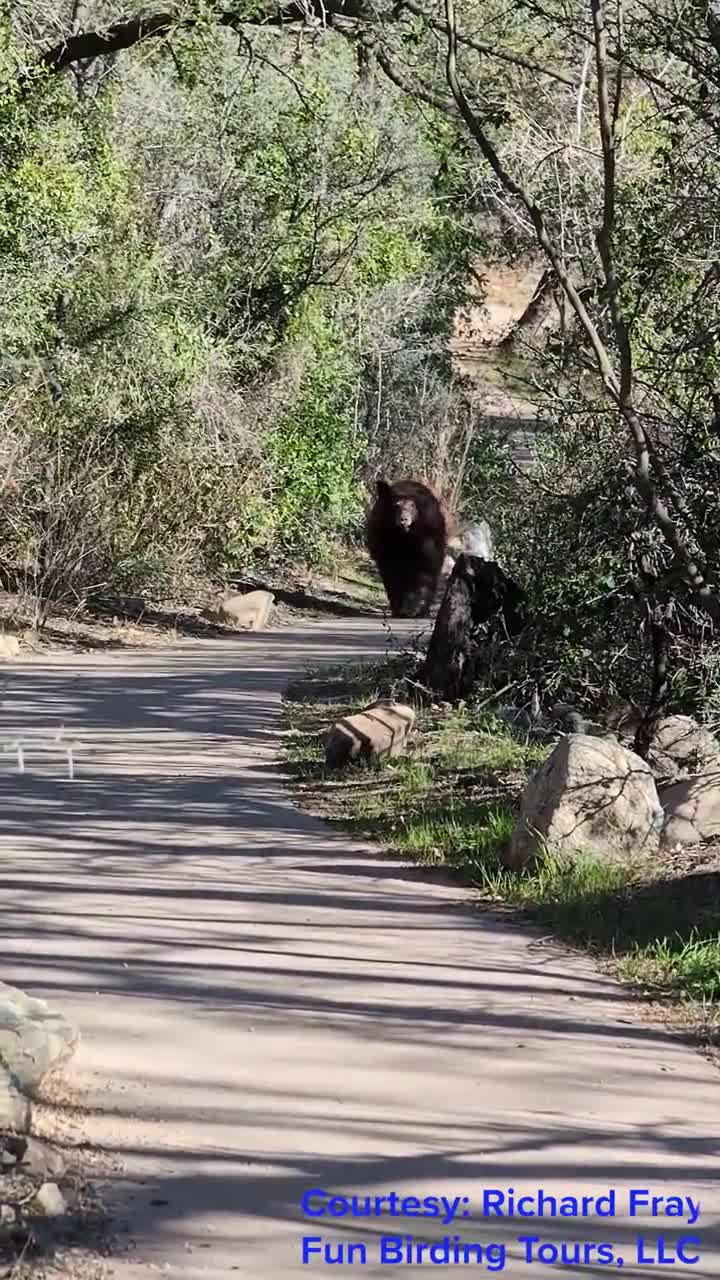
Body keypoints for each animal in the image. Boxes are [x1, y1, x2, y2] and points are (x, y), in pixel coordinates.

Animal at [366, 477, 452, 618]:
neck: (404, 537)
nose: (404, 519)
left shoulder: (427, 540)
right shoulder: (383, 543)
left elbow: (424, 572)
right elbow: (392, 575)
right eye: (396, 505)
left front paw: (415, 608)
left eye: (412, 506)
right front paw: (400, 608)